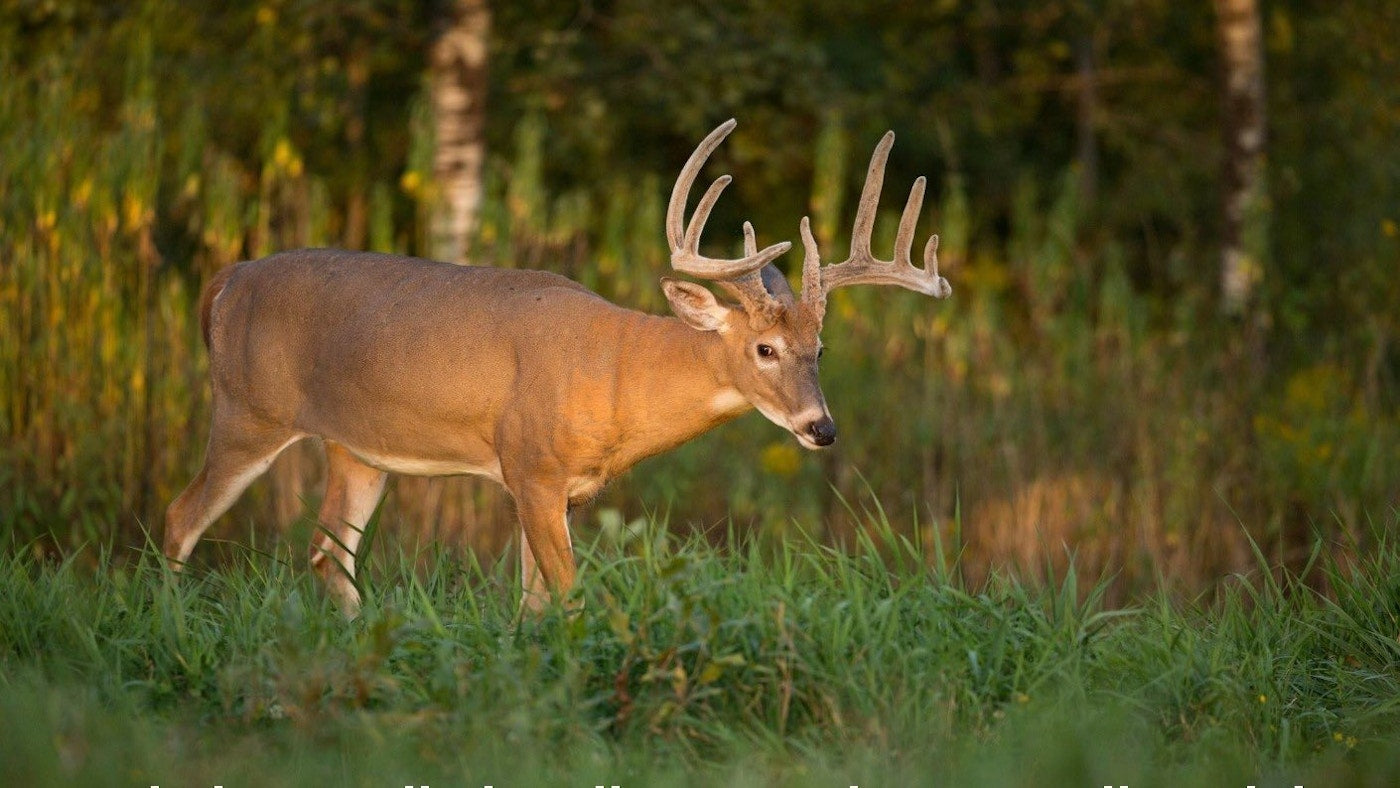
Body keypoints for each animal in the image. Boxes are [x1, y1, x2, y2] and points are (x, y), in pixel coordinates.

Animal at [163, 119, 952, 615]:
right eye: (765, 349)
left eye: (821, 349)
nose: (822, 428)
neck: (619, 375)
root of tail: (225, 281)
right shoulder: (530, 465)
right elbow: (567, 595)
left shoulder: (555, 488)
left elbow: (532, 602)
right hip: (247, 411)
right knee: (181, 515)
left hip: (355, 449)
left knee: (329, 554)